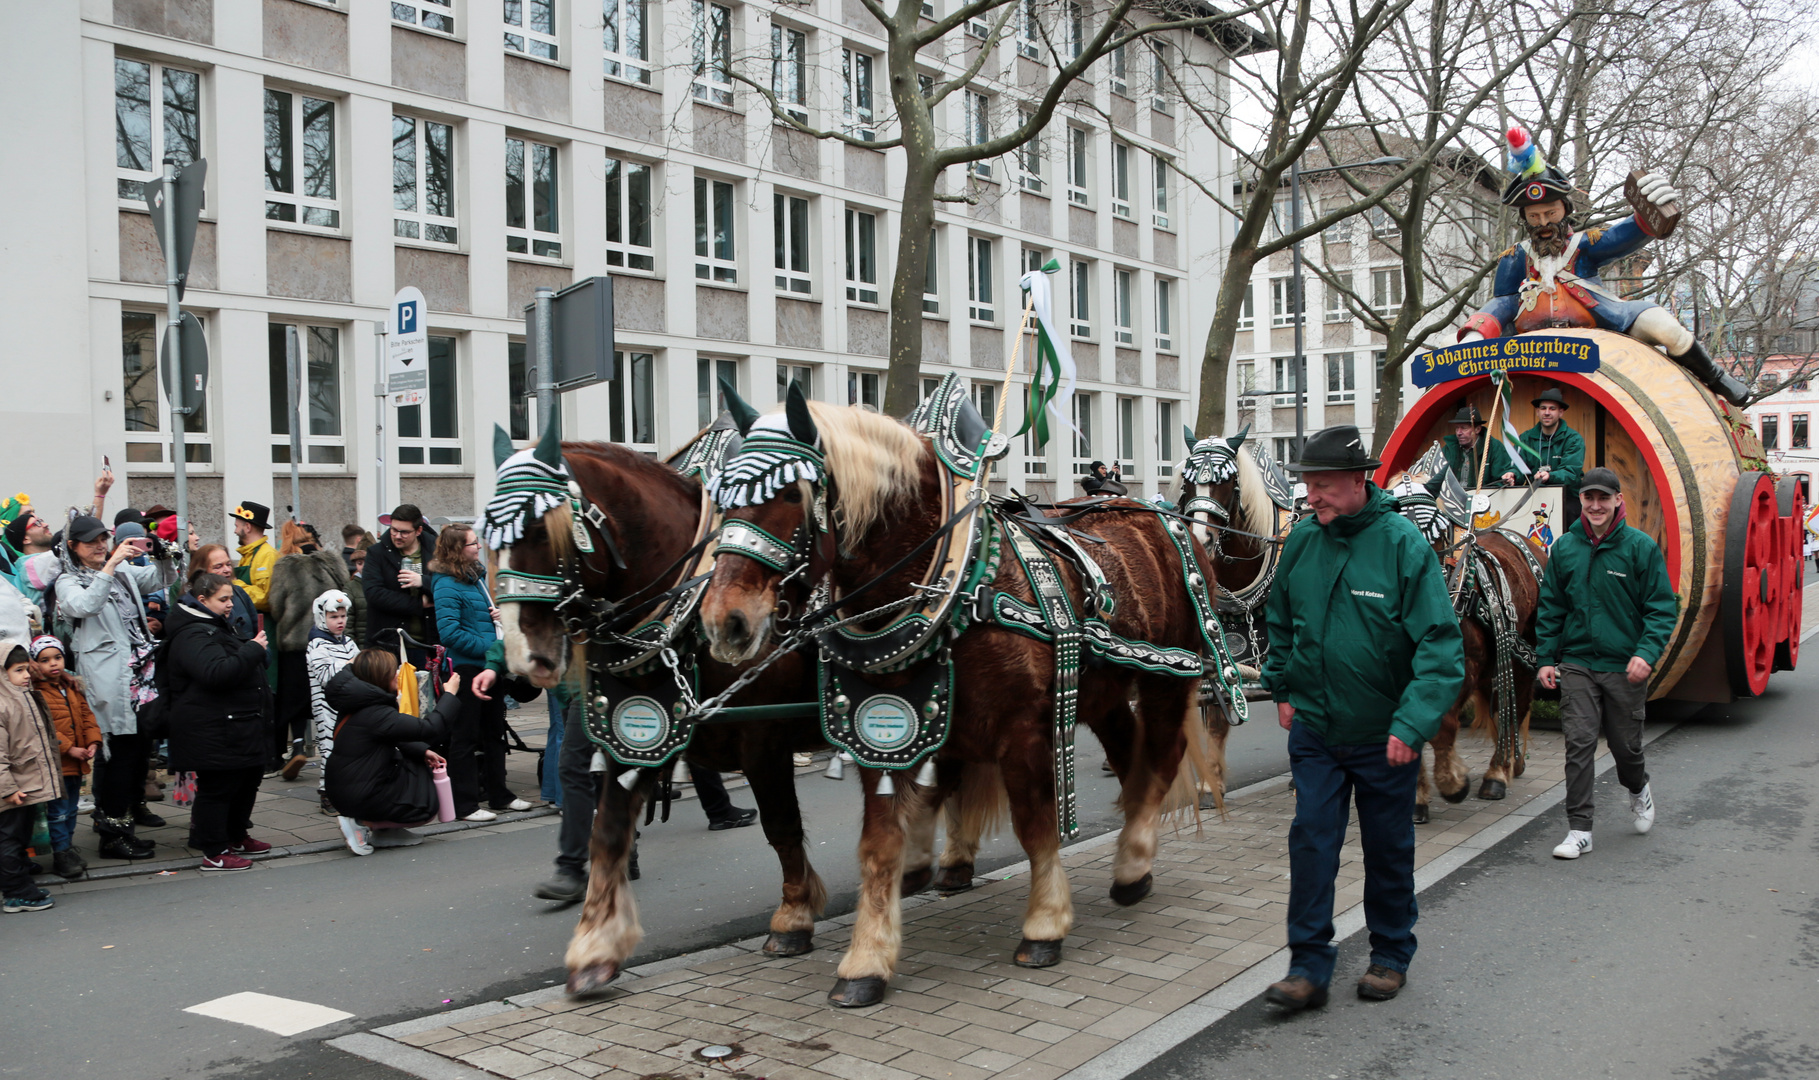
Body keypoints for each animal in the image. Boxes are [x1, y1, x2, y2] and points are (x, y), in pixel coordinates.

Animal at [483, 421, 825, 989]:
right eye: (490, 540)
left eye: (541, 533)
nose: (523, 657)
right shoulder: (635, 738)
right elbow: (606, 832)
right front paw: (595, 949)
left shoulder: (765, 741)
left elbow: (782, 827)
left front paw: (795, 917)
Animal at [691, 389, 1222, 1010]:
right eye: (723, 498)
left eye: (788, 495)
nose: (724, 622)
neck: (958, 580)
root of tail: (1162, 516)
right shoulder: (879, 731)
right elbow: (879, 845)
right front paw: (867, 960)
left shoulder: (1022, 730)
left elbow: (1035, 825)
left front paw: (1044, 925)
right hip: (1104, 689)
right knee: (1127, 755)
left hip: (1168, 678)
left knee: (1159, 758)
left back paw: (1134, 863)